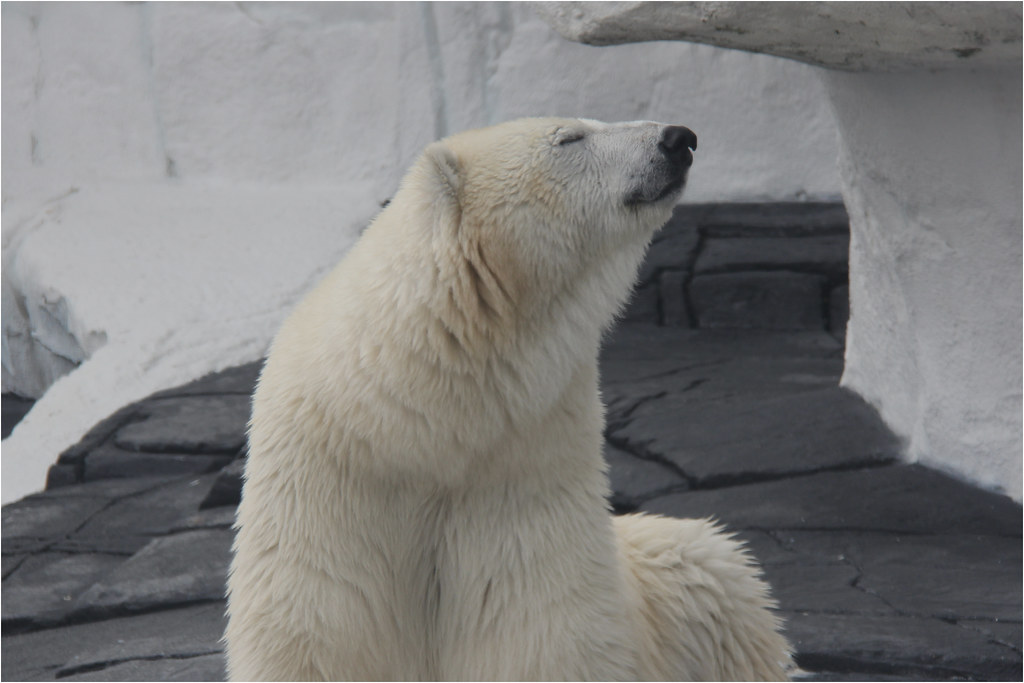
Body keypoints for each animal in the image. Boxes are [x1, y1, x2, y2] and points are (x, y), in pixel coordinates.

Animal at [225, 117, 791, 681]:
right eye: (571, 138)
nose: (678, 138)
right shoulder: (331, 478)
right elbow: (322, 628)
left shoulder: (523, 467)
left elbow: (533, 624)